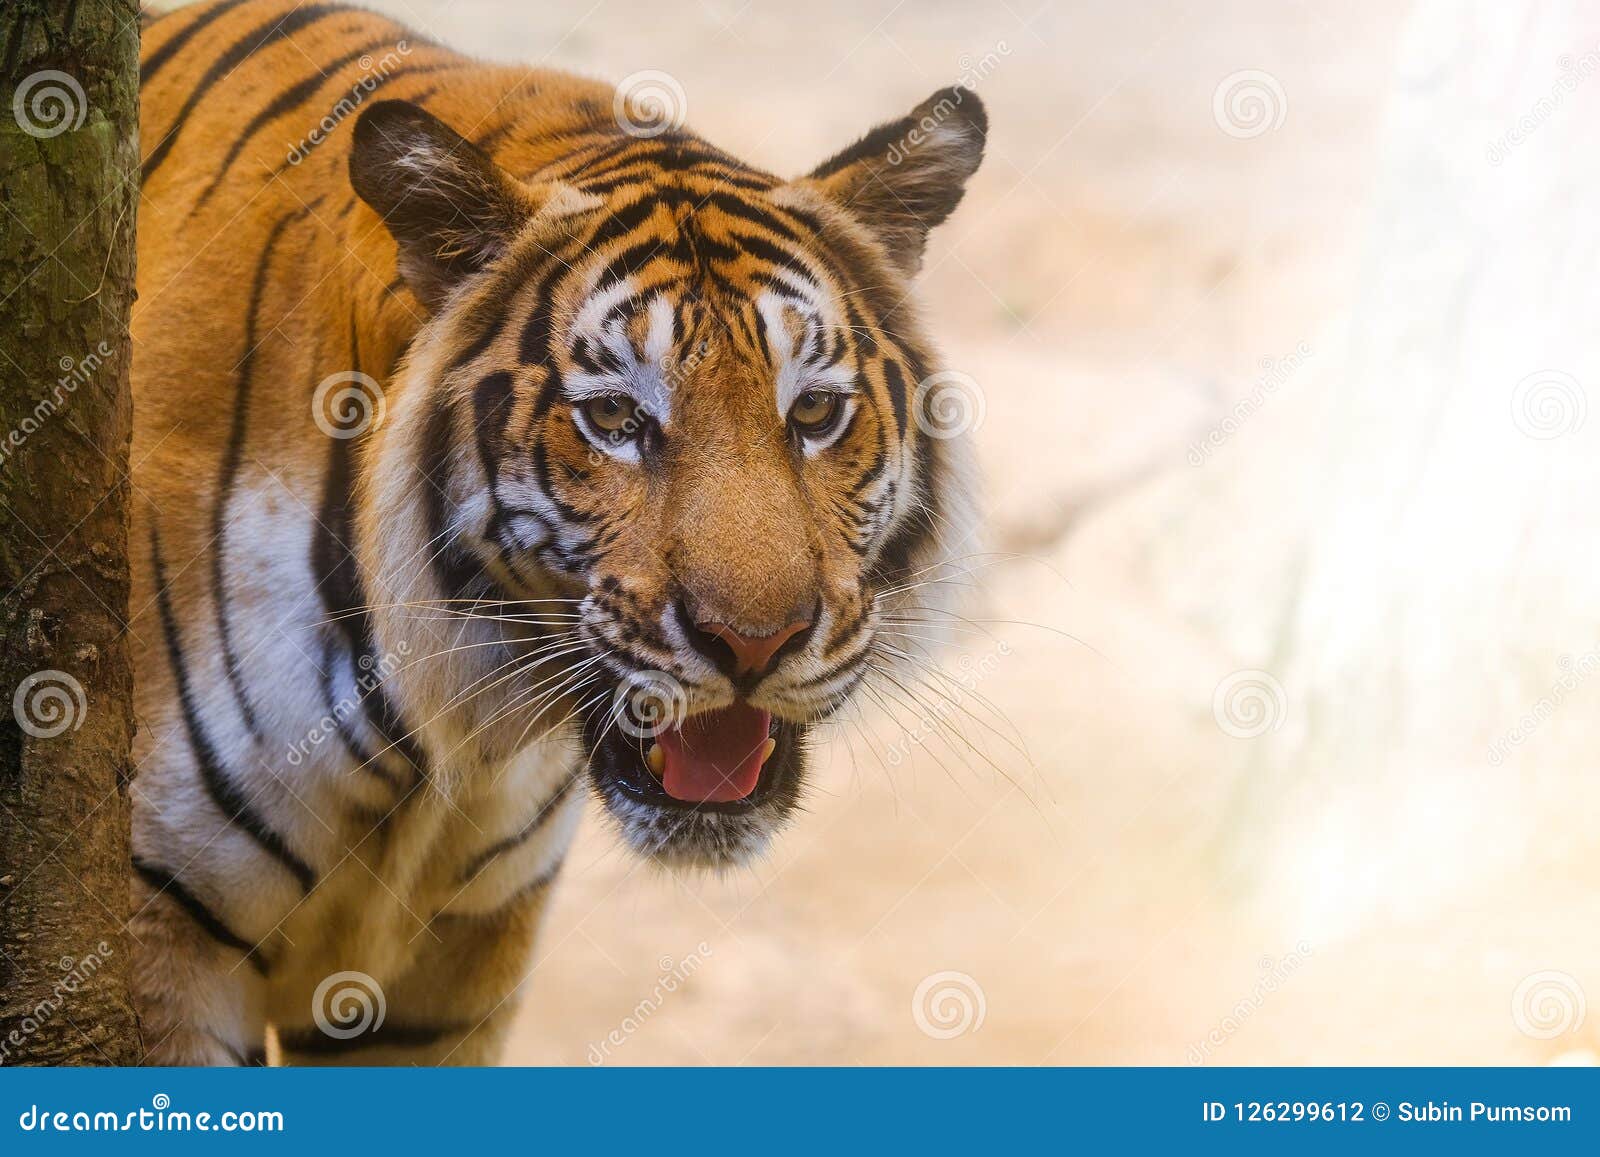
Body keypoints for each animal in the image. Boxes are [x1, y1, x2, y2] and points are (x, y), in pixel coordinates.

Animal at [129, 0, 984, 1065]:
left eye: (815, 413)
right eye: (615, 418)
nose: (756, 643)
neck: (438, 741)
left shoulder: (452, 974)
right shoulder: (160, 951)